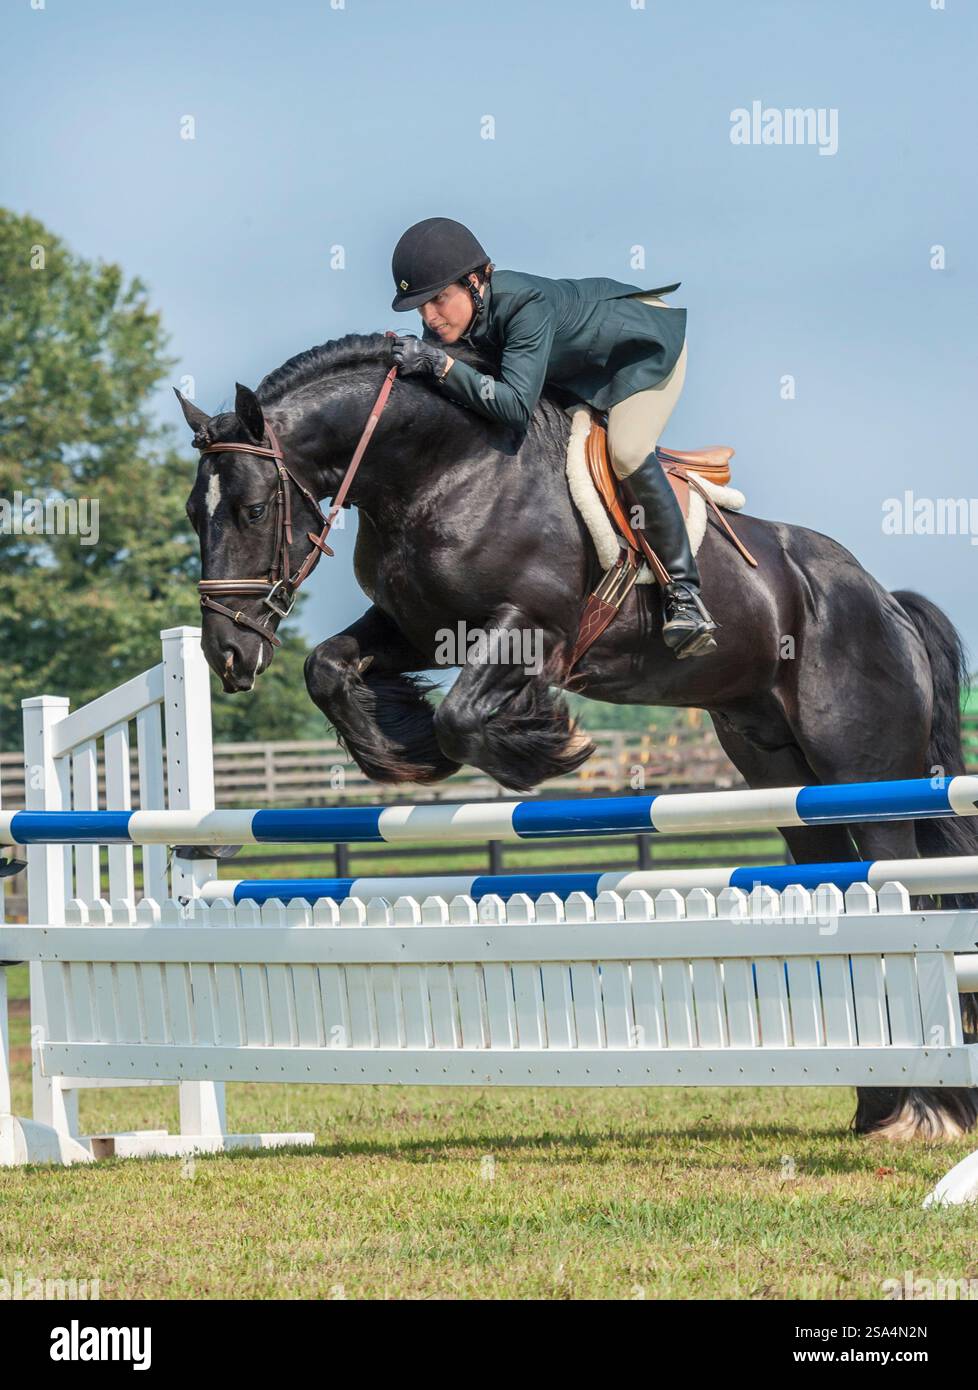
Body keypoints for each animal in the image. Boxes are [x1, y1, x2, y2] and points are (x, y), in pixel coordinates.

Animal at [179, 331, 978, 1143]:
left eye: (251, 508)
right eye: (192, 512)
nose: (227, 655)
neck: (439, 470)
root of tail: (885, 603)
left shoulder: (532, 629)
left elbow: (461, 715)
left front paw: (543, 744)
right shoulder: (413, 627)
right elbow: (329, 669)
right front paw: (406, 751)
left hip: (865, 778)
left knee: (908, 896)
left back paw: (924, 1112)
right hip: (783, 781)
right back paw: (880, 1104)